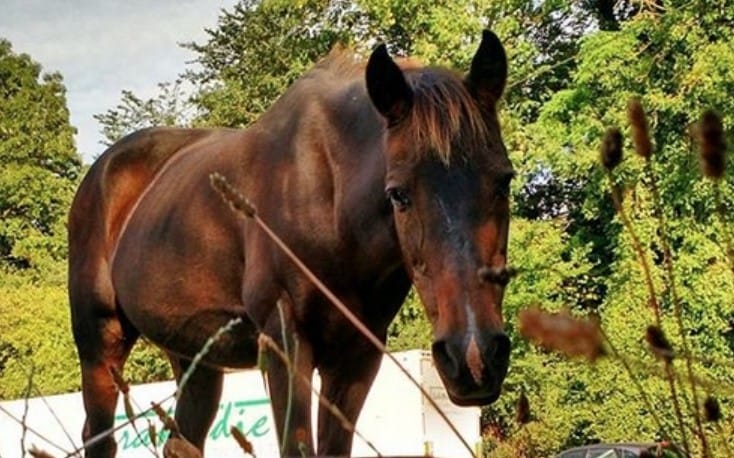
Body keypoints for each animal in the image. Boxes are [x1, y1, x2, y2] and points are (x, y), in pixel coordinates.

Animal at [67, 29, 514, 457]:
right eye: (398, 194)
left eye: (503, 180)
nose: (472, 358)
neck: (328, 203)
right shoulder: (284, 342)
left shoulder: (357, 355)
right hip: (100, 345)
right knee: (99, 437)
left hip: (194, 357)